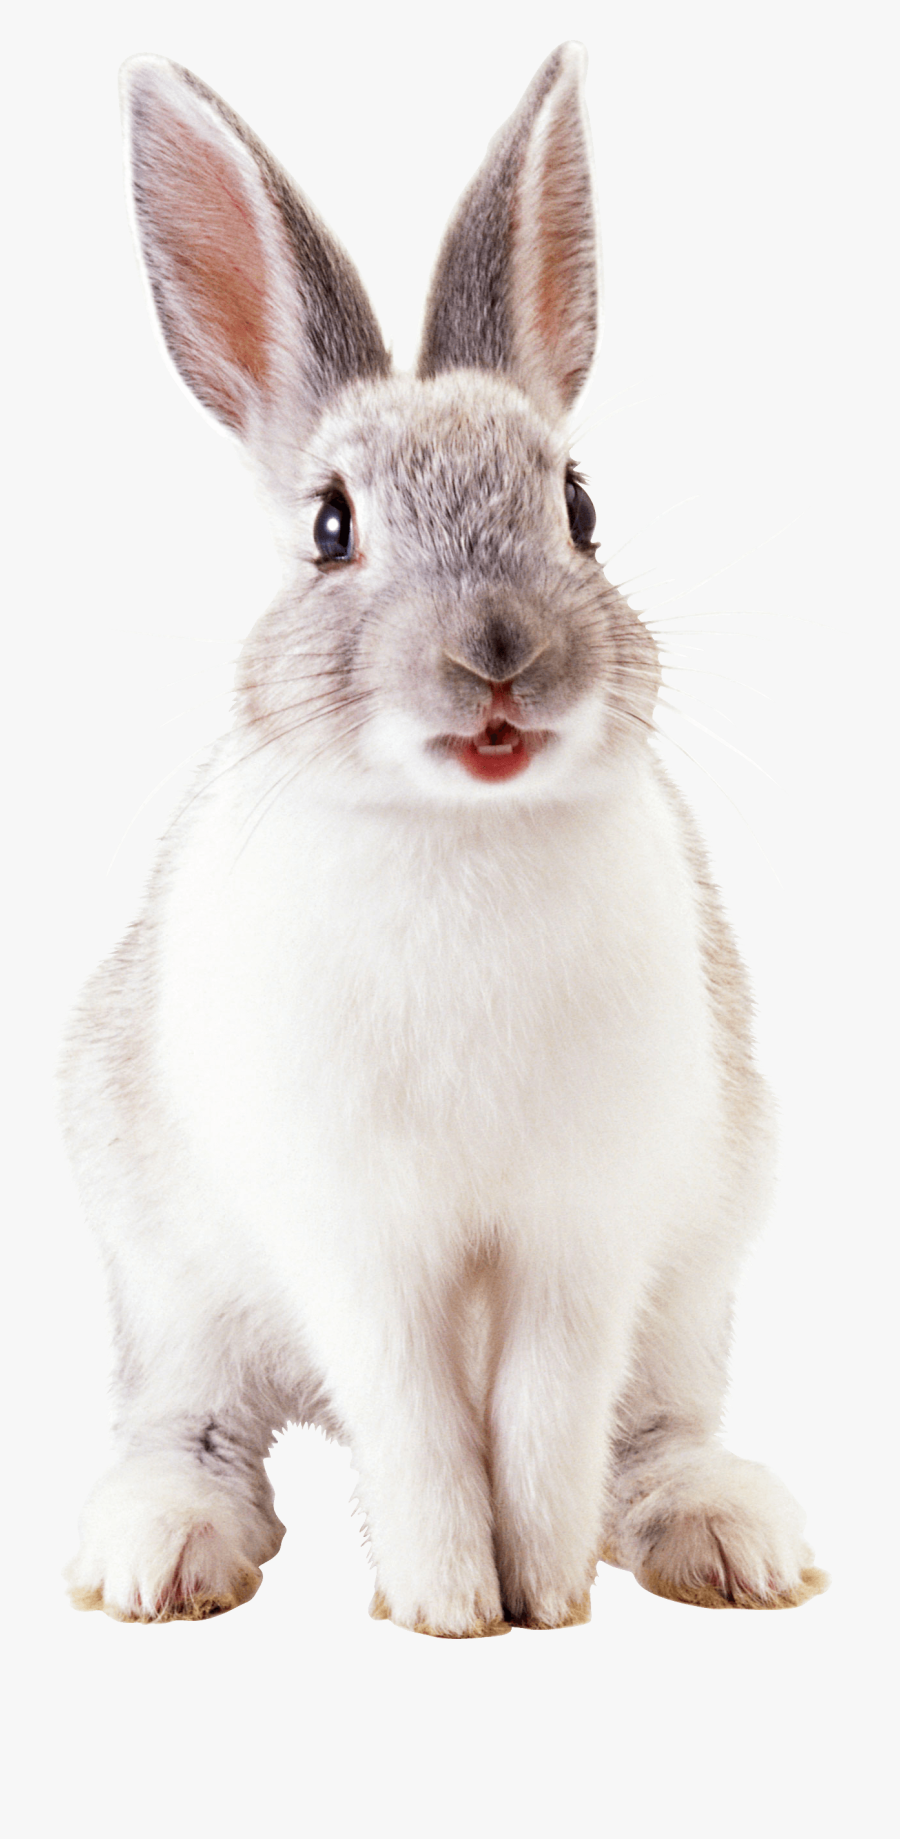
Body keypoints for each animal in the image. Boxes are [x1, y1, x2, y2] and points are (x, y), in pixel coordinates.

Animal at [62, 43, 826, 1635]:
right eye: (330, 527)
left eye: (580, 506)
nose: (499, 655)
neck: (462, 833)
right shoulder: (361, 1245)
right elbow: (419, 1425)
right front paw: (448, 1606)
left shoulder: (583, 1239)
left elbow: (543, 1426)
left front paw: (541, 1600)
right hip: (172, 1286)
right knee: (192, 1422)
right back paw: (161, 1550)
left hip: (695, 1284)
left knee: (652, 1428)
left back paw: (730, 1537)